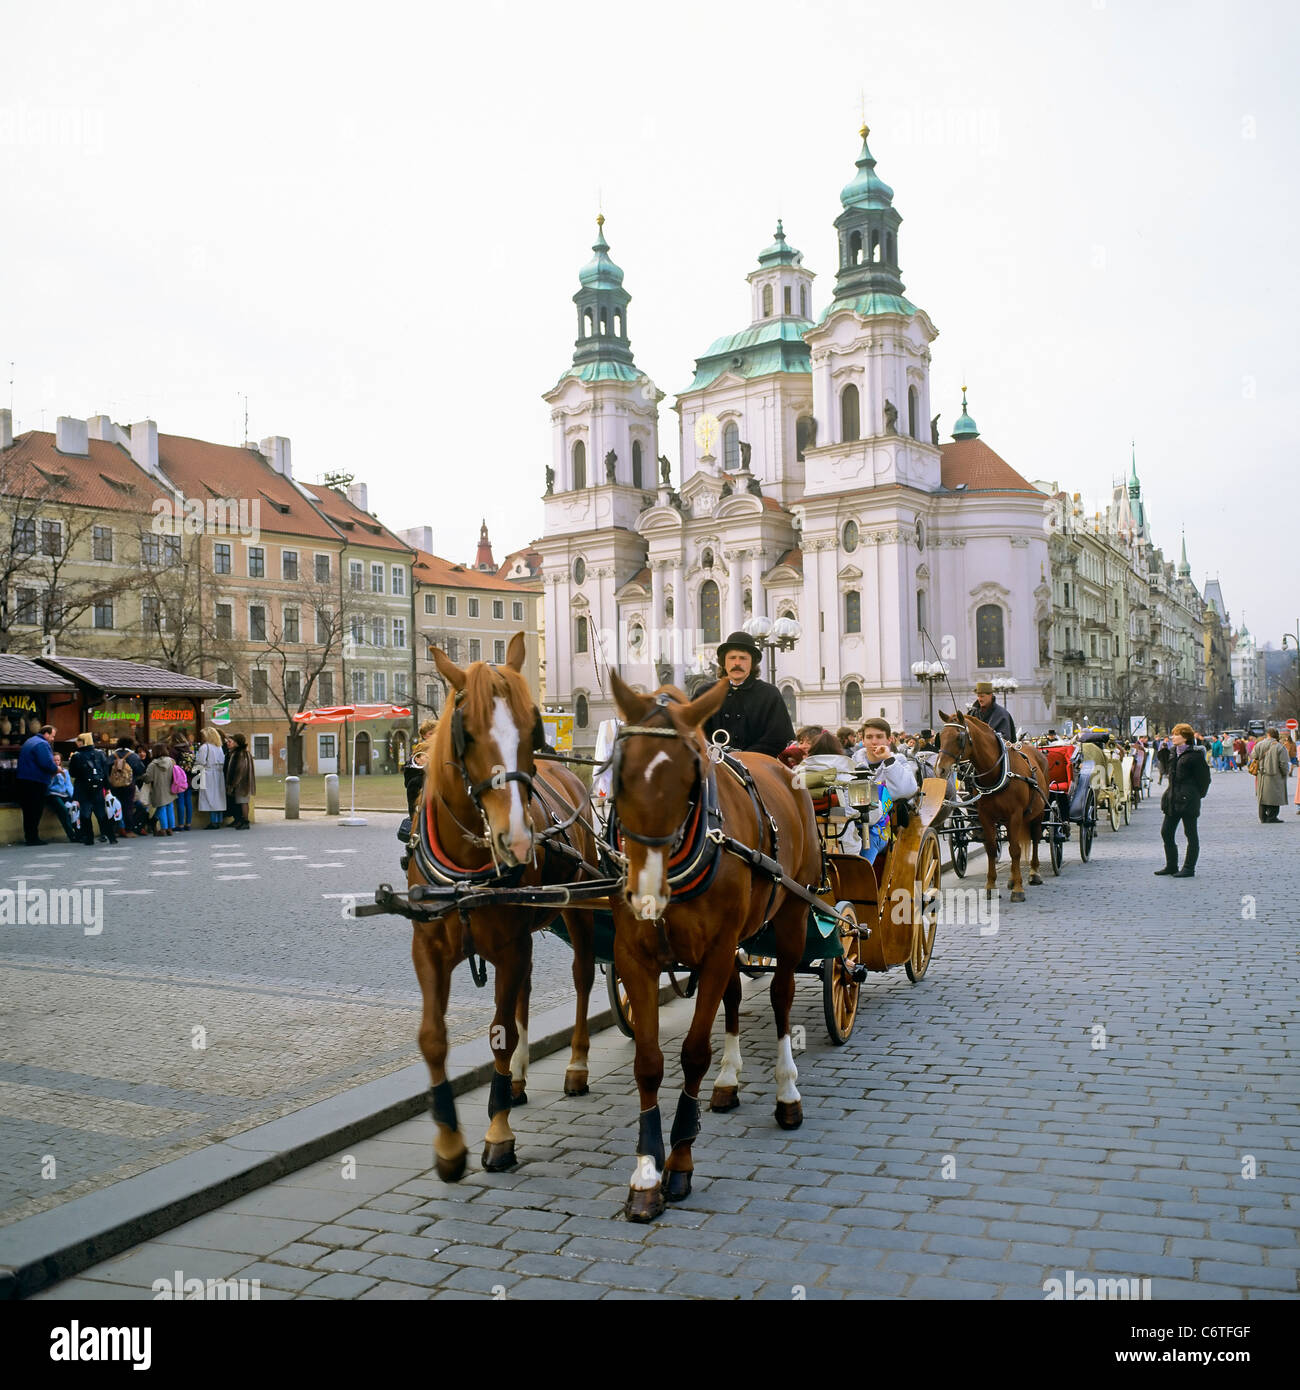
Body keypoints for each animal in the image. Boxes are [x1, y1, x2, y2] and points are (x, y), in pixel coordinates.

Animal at [412, 634, 599, 1180]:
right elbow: (433, 1037)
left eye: (531, 726)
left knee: (583, 976)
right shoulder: (428, 949)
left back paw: (576, 1066)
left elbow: (499, 1034)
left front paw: (498, 1136)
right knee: (526, 992)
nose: (516, 841)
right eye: (467, 734)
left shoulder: (510, 946)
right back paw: (515, 1083)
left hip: (580, 909)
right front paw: (449, 1143)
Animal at [608, 673, 822, 1222]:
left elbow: (693, 1054)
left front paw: (680, 1162)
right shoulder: (634, 958)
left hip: (791, 917)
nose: (646, 893)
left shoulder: (718, 950)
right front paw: (646, 1173)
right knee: (733, 998)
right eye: (618, 775)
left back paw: (787, 1093)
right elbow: (648, 1063)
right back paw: (728, 1082)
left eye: (691, 775)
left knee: (782, 998)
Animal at [934, 709, 1050, 903]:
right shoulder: (986, 816)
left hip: (1038, 812)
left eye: (959, 737)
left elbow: (1015, 850)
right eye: (940, 737)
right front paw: (991, 886)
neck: (997, 773)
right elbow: (991, 848)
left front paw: (1018, 889)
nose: (940, 769)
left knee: (1034, 838)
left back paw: (1034, 873)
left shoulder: (1015, 815)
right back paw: (1011, 878)